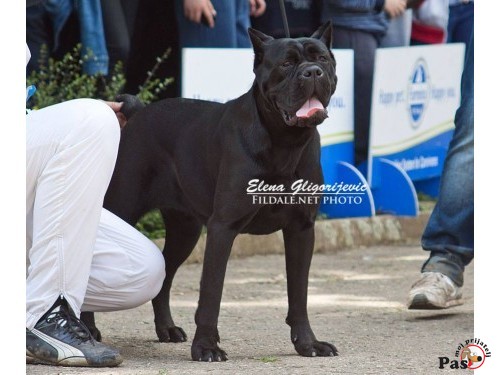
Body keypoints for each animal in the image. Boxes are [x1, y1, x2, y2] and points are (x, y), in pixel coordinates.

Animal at [84, 22, 338, 362]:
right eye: (286, 63)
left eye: (322, 59)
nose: (312, 72)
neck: (285, 142)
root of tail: (138, 112)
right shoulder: (223, 227)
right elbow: (211, 293)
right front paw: (205, 347)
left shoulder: (301, 228)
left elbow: (299, 294)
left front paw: (308, 344)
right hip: (123, 209)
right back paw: (88, 328)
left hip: (185, 230)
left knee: (165, 275)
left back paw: (167, 329)